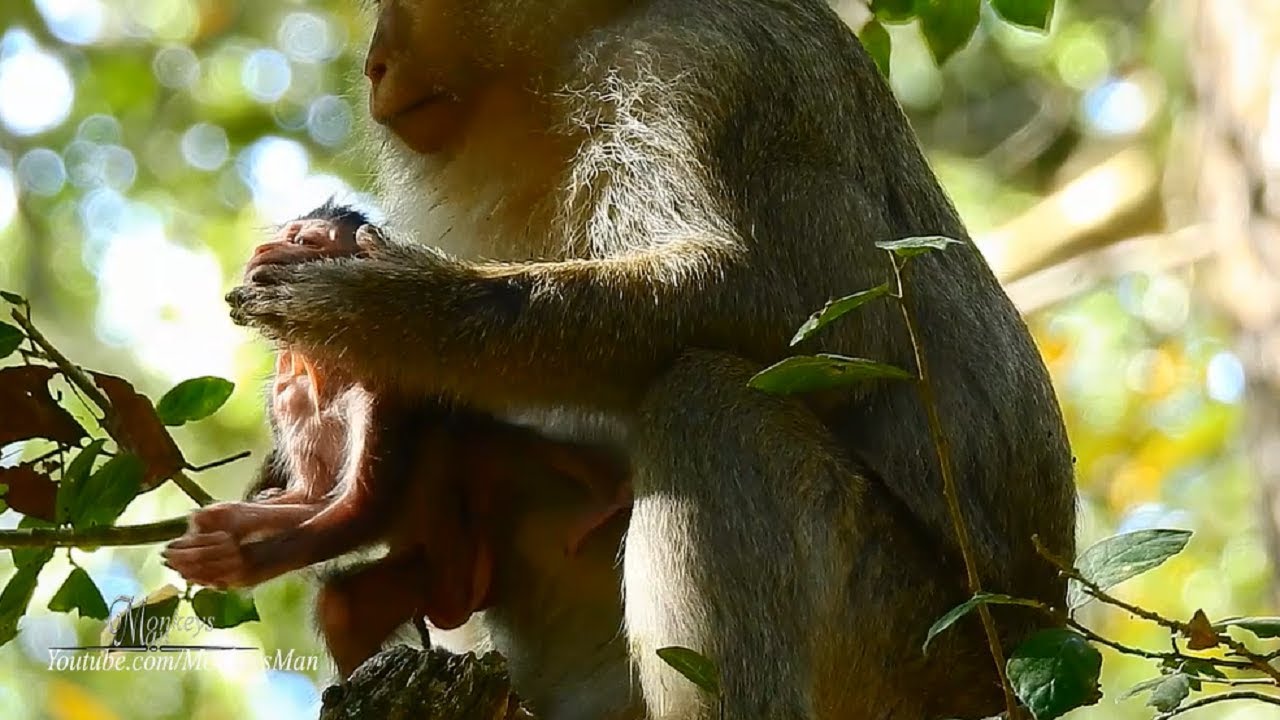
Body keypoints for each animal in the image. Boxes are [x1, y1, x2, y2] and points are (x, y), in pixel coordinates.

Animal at [224, 1, 1077, 719]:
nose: (375, 63)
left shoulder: (698, 71)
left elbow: (781, 304)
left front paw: (367, 310)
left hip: (911, 643)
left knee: (709, 402)